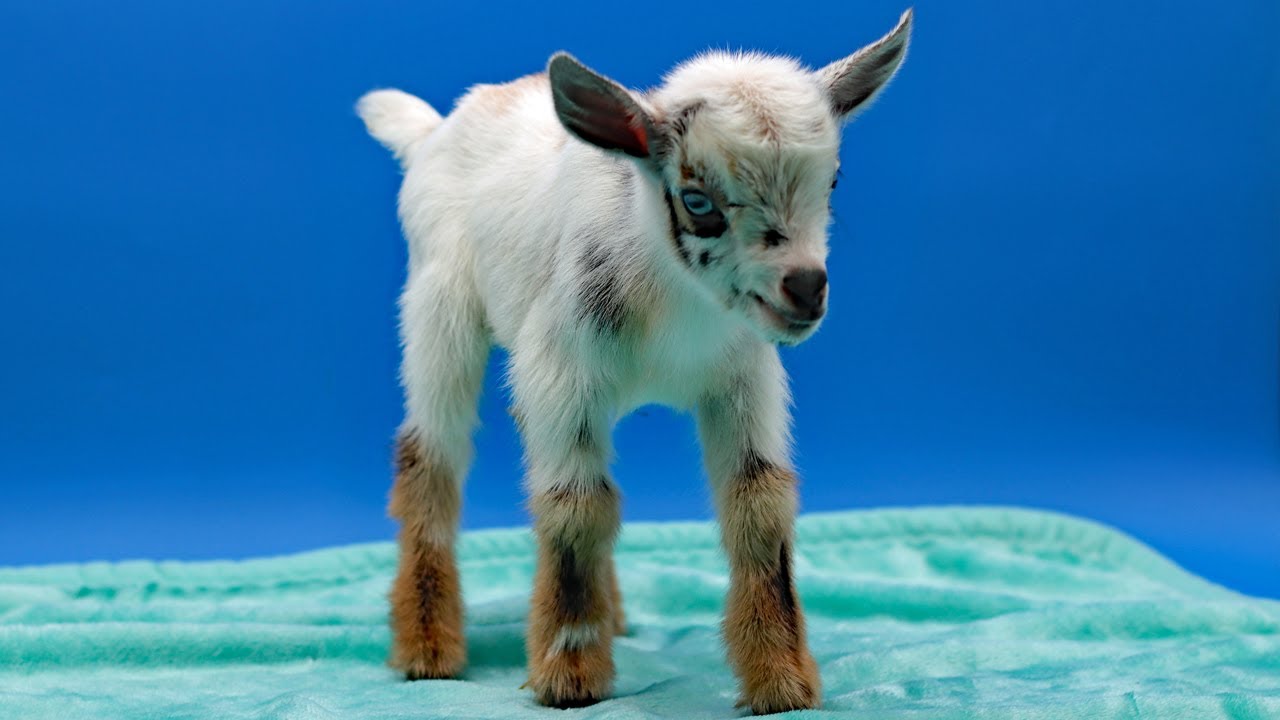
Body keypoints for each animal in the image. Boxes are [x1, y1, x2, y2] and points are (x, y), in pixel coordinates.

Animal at [356, 10, 911, 713]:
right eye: (697, 202)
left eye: (831, 182)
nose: (807, 289)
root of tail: (435, 129)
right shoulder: (563, 371)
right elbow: (576, 506)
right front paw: (570, 677)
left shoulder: (744, 377)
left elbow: (759, 503)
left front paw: (783, 683)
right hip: (439, 305)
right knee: (431, 455)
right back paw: (427, 651)